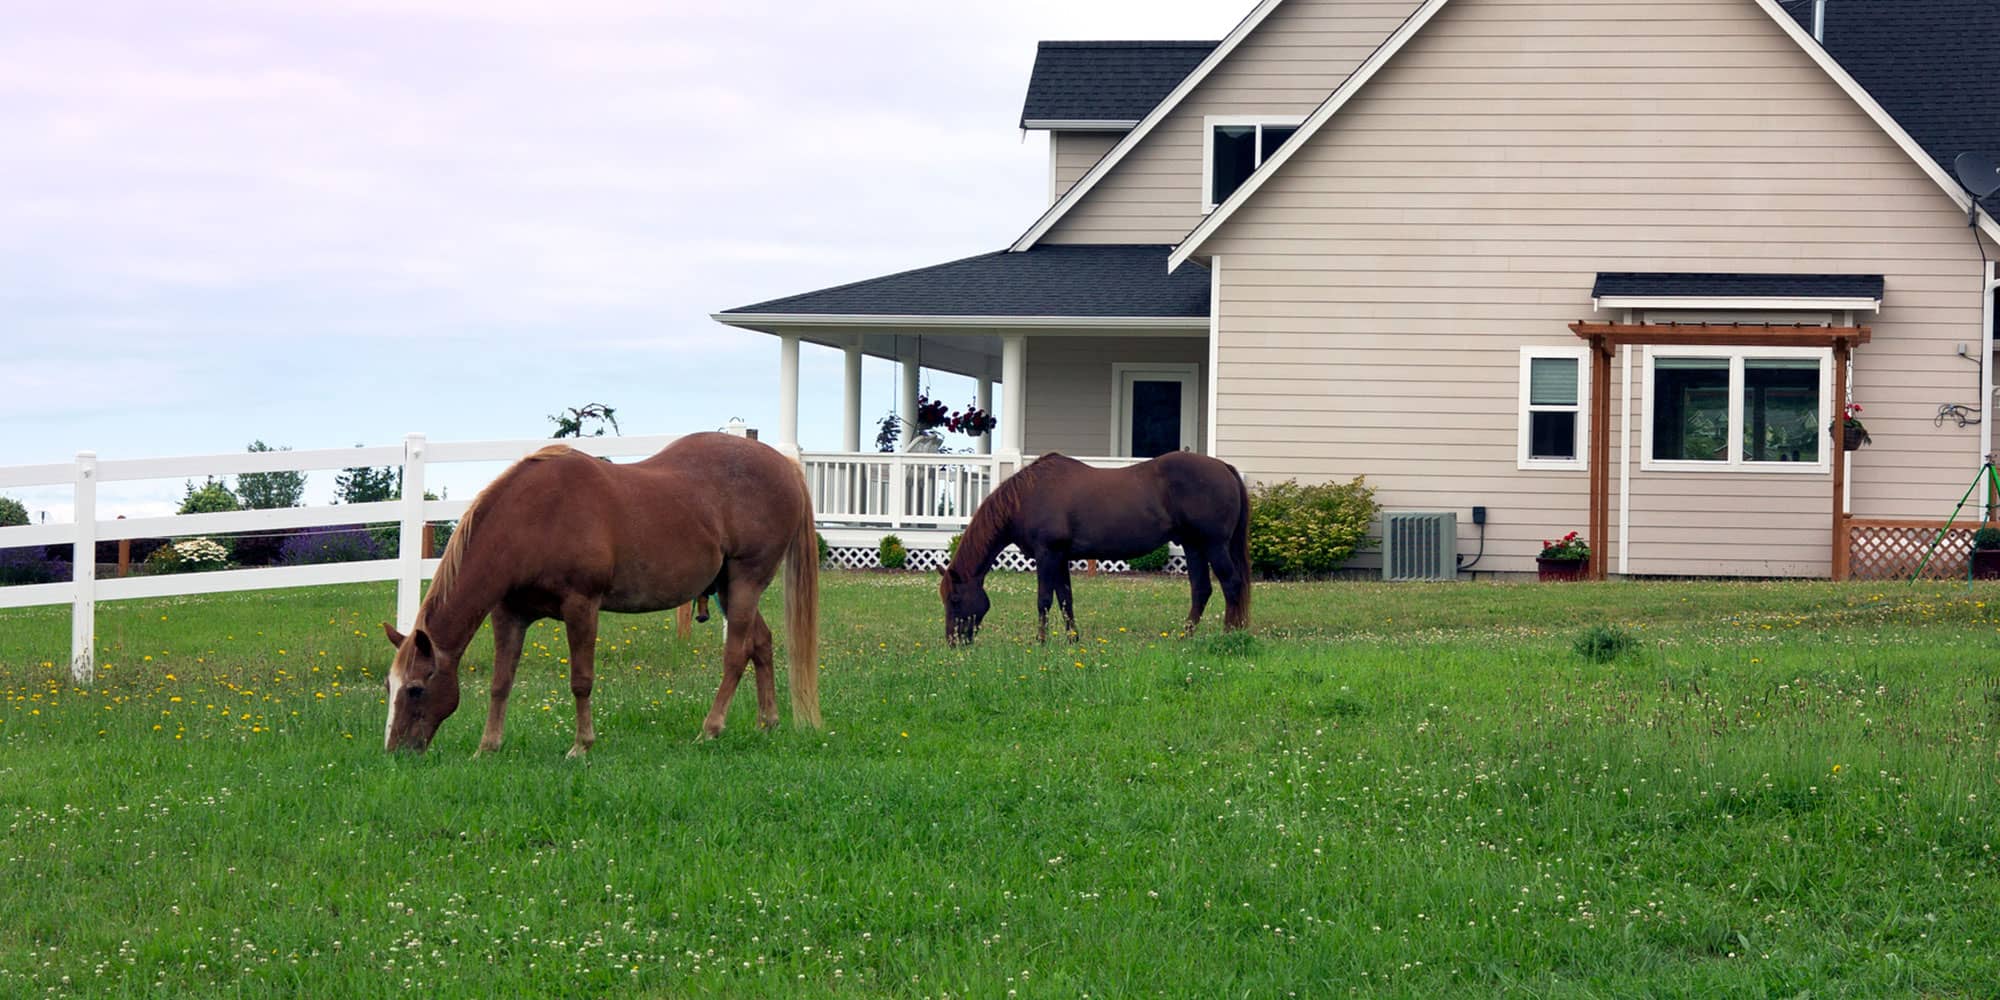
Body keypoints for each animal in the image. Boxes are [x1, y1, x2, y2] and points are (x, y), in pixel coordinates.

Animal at [381, 432, 820, 754]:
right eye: (389, 687)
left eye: (416, 689)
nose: (396, 751)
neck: (531, 519)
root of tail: (784, 465)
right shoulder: (510, 614)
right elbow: (501, 682)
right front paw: (487, 747)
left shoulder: (581, 606)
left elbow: (581, 679)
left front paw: (581, 746)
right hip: (727, 588)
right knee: (761, 644)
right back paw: (768, 723)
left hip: (746, 580)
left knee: (735, 655)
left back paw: (710, 729)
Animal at [939, 452, 1250, 645]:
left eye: (955, 599)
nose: (953, 642)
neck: (1028, 497)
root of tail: (1224, 468)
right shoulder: (1060, 557)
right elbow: (1065, 599)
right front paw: (1072, 639)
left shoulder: (1047, 554)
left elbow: (1044, 600)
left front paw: (1040, 641)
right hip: (1193, 545)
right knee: (1201, 590)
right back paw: (1185, 637)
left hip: (1213, 545)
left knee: (1231, 584)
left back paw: (1229, 634)